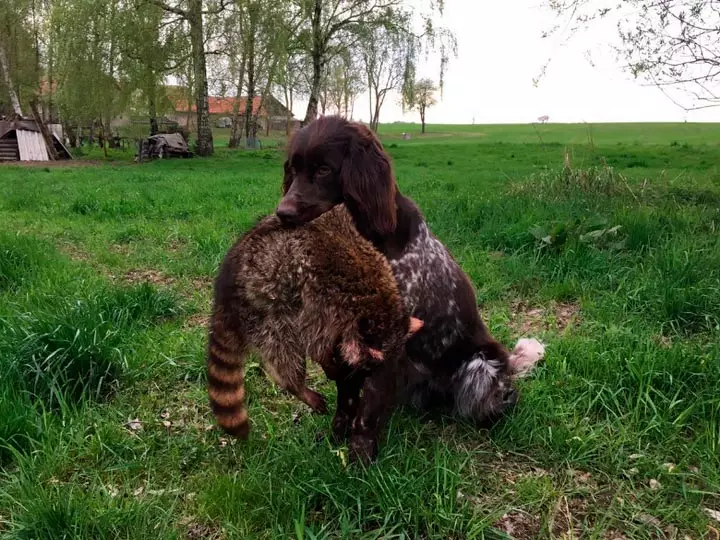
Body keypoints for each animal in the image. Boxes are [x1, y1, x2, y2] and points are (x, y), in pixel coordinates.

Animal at [207, 205, 422, 462]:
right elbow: (315, 339)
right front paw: (327, 362)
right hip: (264, 304)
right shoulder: (323, 300)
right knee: (282, 347)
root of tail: (224, 297)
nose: (367, 382)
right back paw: (294, 385)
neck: (376, 310)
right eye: (367, 368)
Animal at [278, 114, 544, 438]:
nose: (282, 212)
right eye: (293, 168)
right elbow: (347, 393)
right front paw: (336, 437)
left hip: (480, 366)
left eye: (324, 169)